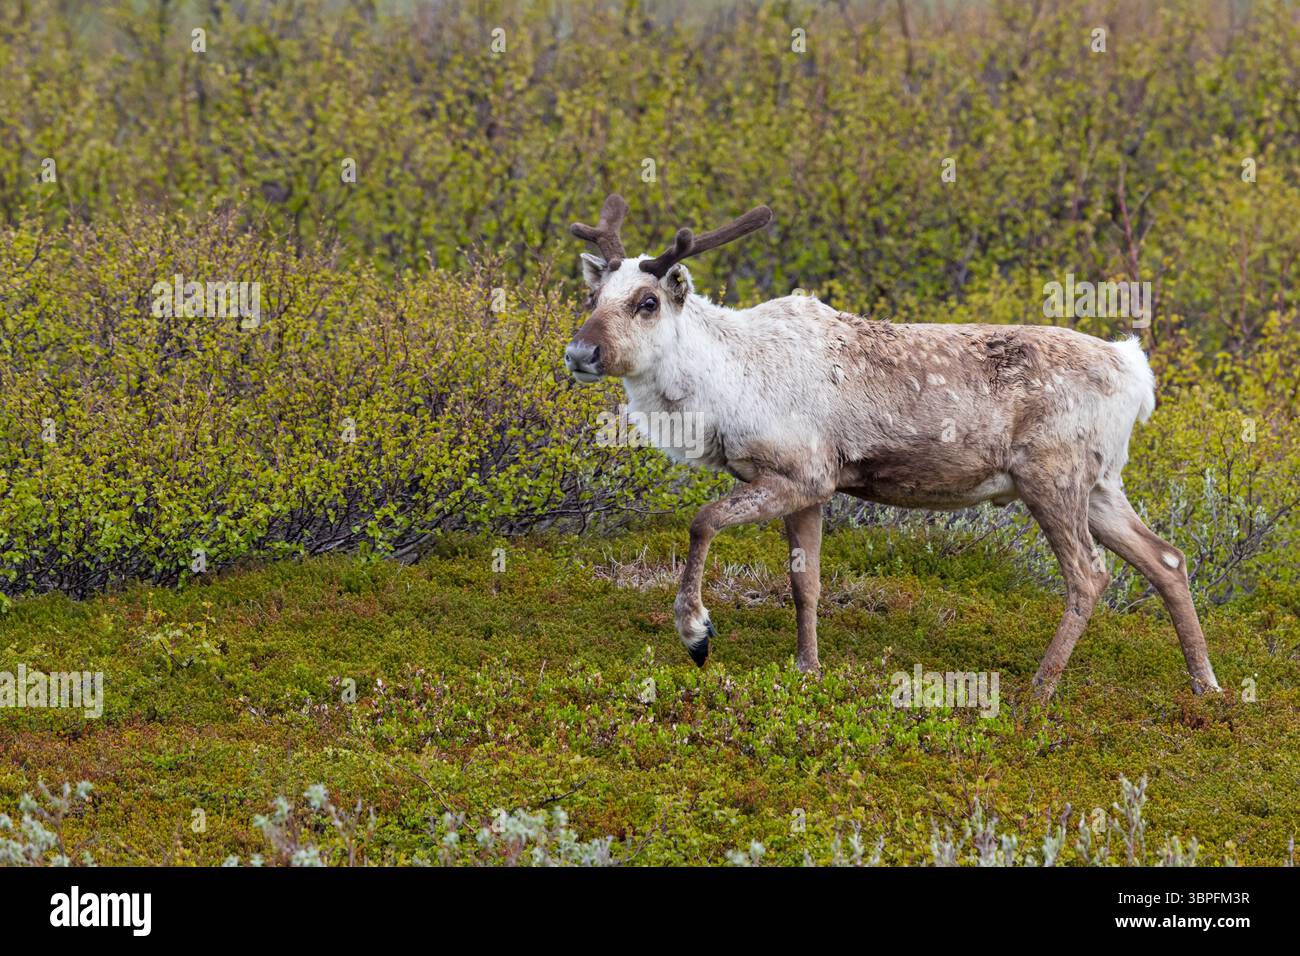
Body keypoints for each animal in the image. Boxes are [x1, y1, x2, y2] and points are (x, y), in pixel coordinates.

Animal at [564, 194, 1221, 700]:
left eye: (647, 302)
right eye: (592, 299)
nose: (579, 352)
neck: (727, 382)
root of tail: (1136, 372)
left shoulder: (800, 474)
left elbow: (702, 520)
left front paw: (696, 633)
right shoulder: (812, 488)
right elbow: (806, 582)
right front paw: (809, 668)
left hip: (1051, 476)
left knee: (1090, 574)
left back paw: (1039, 688)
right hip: (1102, 482)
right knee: (1167, 558)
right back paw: (1206, 685)